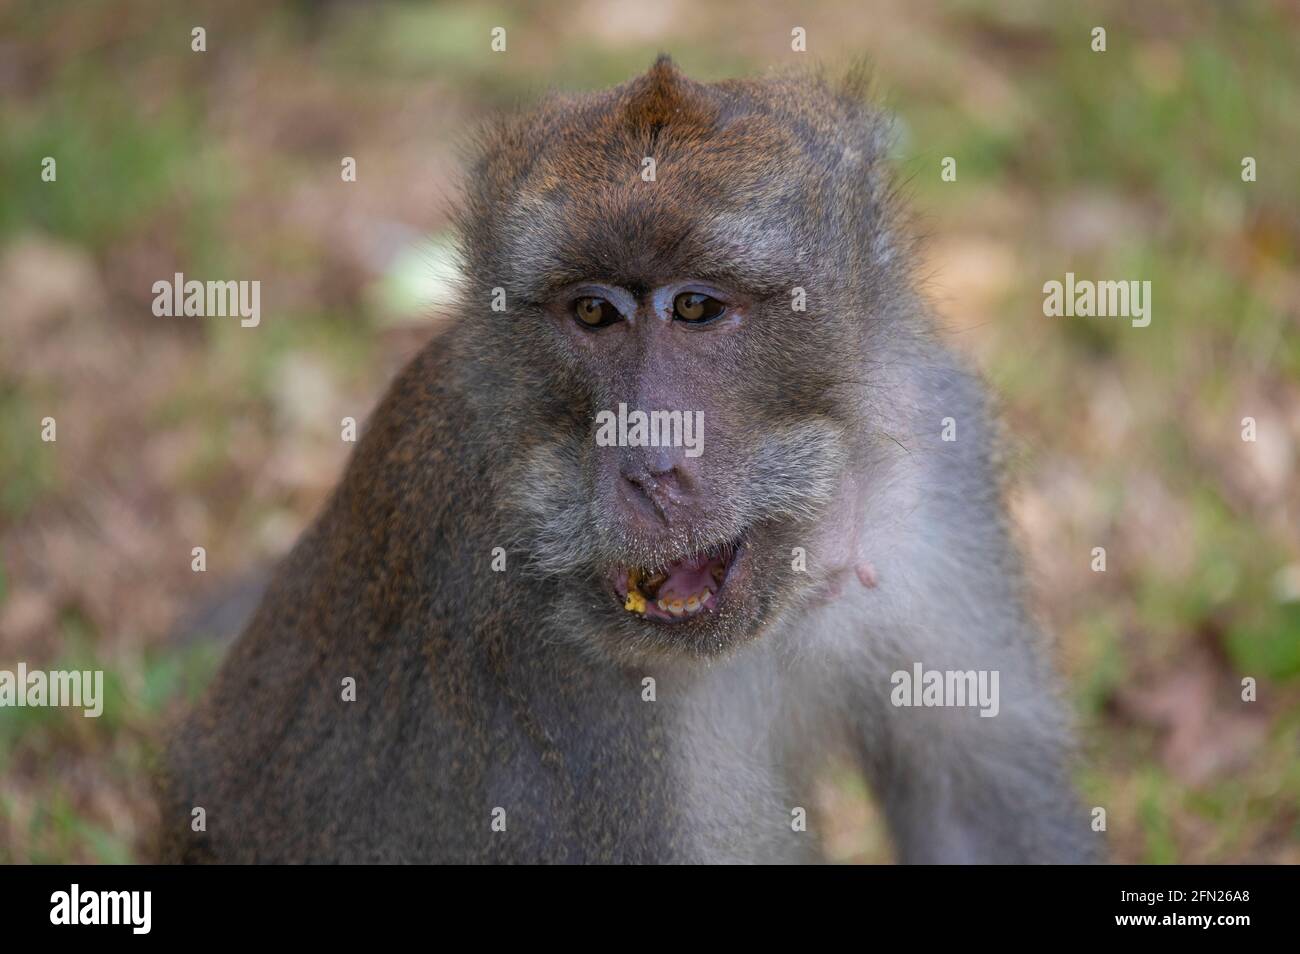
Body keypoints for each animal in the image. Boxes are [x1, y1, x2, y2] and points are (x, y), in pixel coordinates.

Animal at [157, 57, 1098, 864]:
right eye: (593, 313)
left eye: (696, 307)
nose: (648, 465)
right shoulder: (513, 627)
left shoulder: (939, 467)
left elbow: (980, 808)